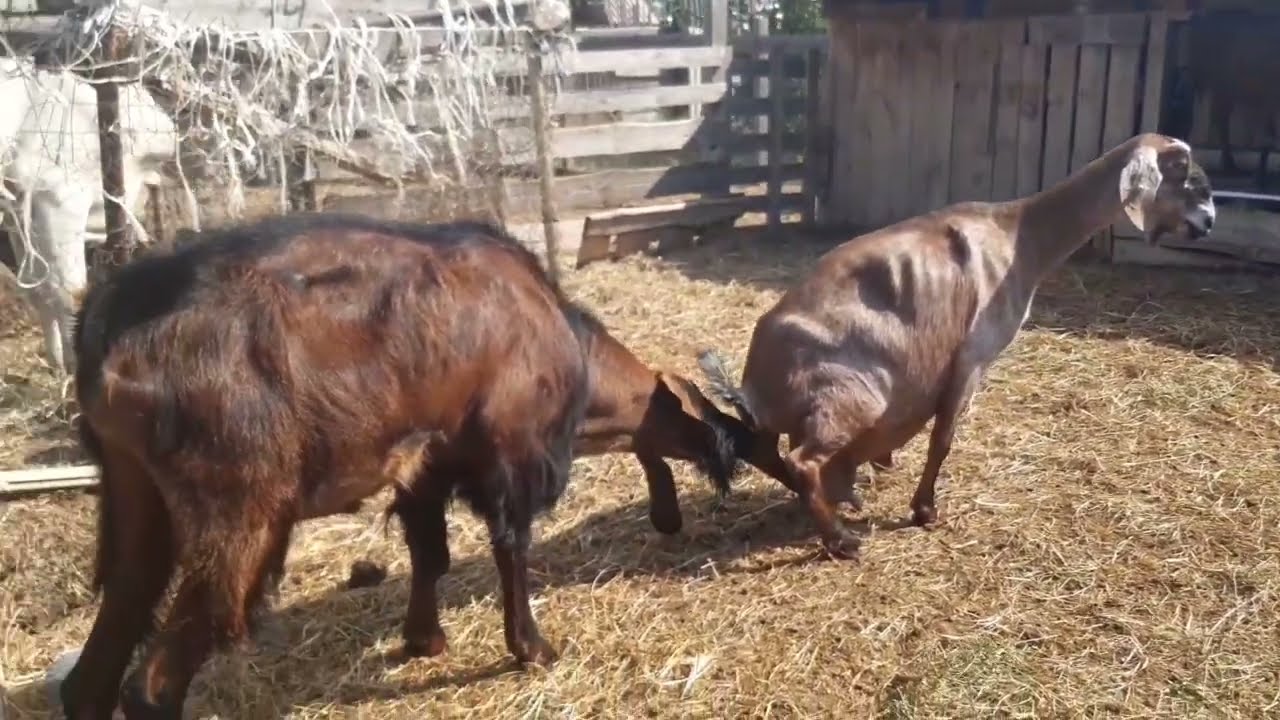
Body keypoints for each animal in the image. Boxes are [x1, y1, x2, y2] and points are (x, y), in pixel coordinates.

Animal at [1, 55, 178, 374]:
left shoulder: (36, 209)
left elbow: (52, 289)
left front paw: (64, 364)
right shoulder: (47, 205)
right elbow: (53, 291)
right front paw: (67, 365)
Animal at [60, 213, 594, 719]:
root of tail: (107, 317)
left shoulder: (425, 465)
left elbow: (430, 552)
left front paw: (424, 640)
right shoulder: (511, 458)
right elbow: (510, 549)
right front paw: (532, 649)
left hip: (136, 495)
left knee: (96, 664)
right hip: (238, 518)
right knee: (152, 686)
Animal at [699, 133, 1215, 560]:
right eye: (1183, 173)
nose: (1208, 222)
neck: (1021, 234)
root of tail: (754, 382)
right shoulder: (971, 358)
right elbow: (943, 439)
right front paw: (925, 511)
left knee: (771, 455)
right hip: (853, 394)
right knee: (802, 461)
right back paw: (842, 541)